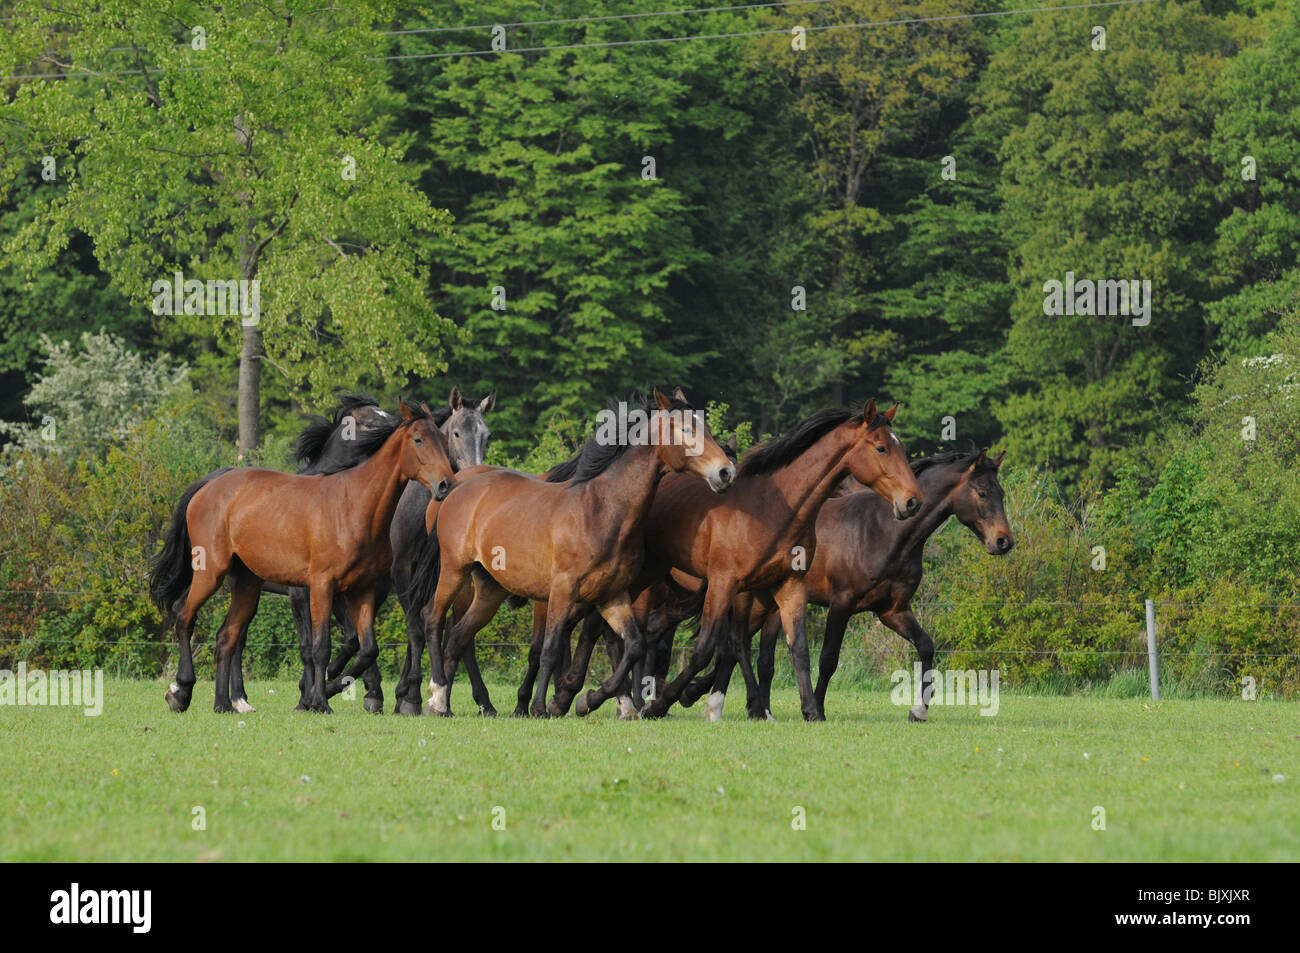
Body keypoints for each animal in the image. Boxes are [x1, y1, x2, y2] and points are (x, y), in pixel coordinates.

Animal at [148, 400, 456, 713]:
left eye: (443, 441)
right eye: (418, 440)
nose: (446, 484)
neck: (353, 506)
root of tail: (209, 485)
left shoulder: (363, 591)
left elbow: (367, 648)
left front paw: (328, 690)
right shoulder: (319, 587)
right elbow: (319, 648)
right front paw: (318, 699)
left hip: (247, 585)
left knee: (227, 637)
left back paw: (225, 703)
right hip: (210, 572)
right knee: (184, 614)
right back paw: (180, 691)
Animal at [405, 389, 735, 718]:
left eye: (707, 428)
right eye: (687, 429)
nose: (725, 472)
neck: (600, 510)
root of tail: (455, 488)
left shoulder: (612, 596)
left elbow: (634, 645)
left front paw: (591, 698)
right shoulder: (563, 591)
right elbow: (550, 650)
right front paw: (542, 706)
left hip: (490, 589)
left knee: (459, 637)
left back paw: (444, 703)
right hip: (454, 571)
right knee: (433, 619)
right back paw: (435, 694)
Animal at [685, 446, 1014, 721]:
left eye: (1001, 492)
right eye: (982, 492)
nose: (1004, 541)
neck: (882, 532)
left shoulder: (893, 611)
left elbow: (926, 647)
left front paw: (918, 711)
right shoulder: (841, 604)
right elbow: (828, 658)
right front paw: (816, 709)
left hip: (772, 607)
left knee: (747, 655)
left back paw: (735, 704)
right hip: (750, 600)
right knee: (733, 645)